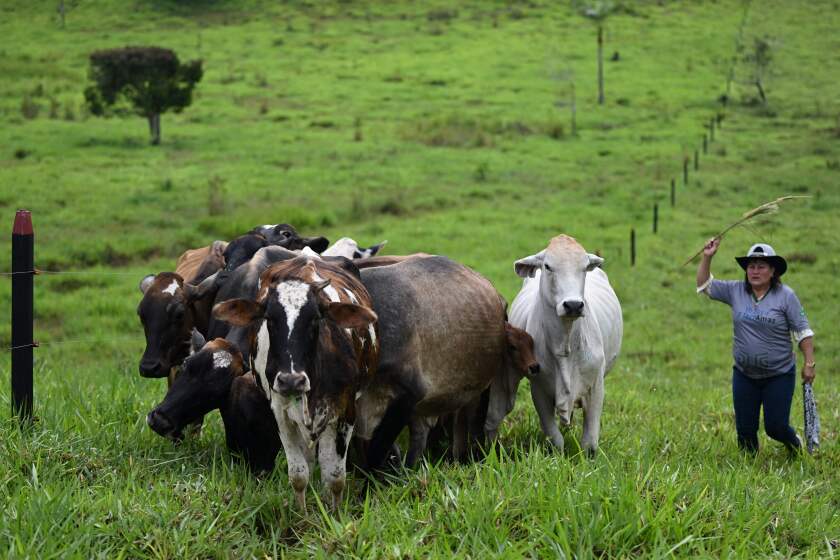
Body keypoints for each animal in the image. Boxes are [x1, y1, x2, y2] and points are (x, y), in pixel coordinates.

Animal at [213, 256, 378, 510]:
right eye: (269, 319)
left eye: (315, 318)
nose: (292, 380)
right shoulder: (281, 414)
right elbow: (299, 474)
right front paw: (302, 515)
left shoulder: (345, 413)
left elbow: (335, 477)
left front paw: (335, 513)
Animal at [499, 234, 622, 456]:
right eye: (548, 266)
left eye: (584, 266)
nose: (573, 305)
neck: (564, 345)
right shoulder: (538, 390)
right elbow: (555, 438)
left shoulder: (596, 388)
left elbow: (590, 442)